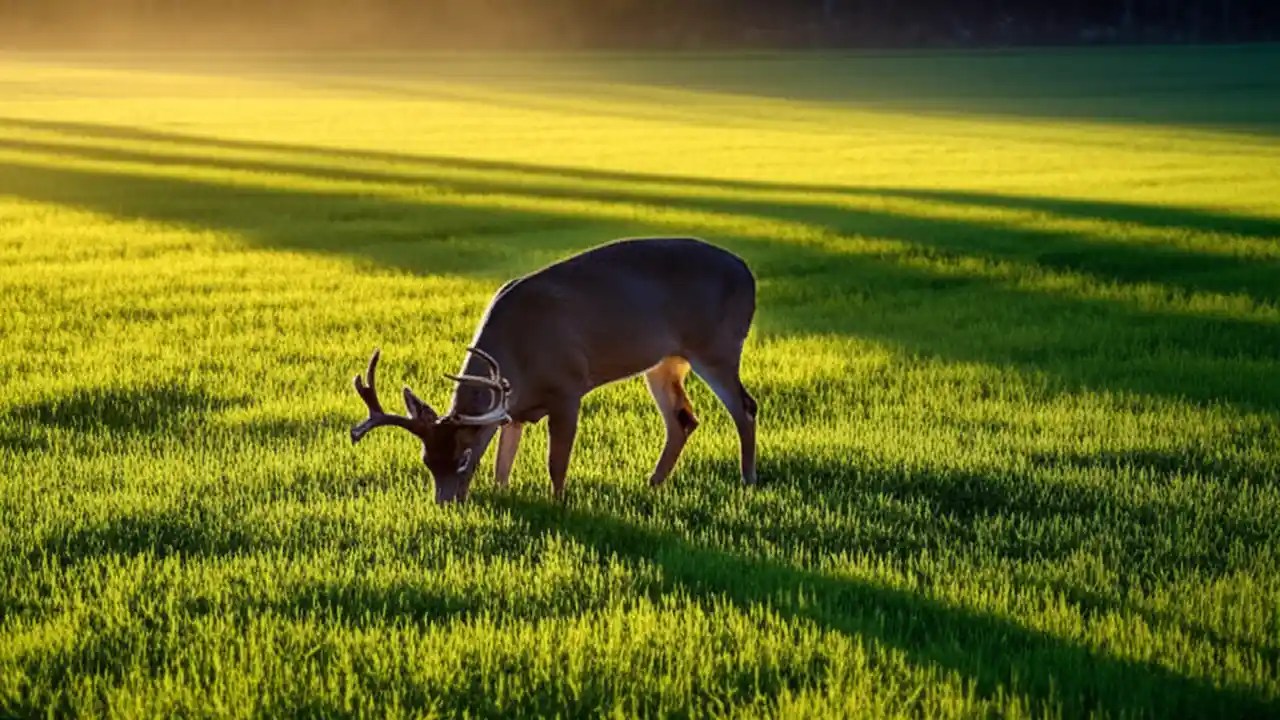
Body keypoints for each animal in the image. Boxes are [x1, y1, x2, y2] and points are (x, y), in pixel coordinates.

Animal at [349, 236, 758, 504]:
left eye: (463, 457)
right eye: (426, 461)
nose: (446, 503)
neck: (518, 352)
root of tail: (747, 273)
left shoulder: (568, 388)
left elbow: (556, 462)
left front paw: (558, 503)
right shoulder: (513, 409)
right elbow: (502, 462)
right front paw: (501, 493)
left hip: (717, 345)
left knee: (745, 407)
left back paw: (747, 478)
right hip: (665, 361)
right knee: (683, 419)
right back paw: (653, 482)